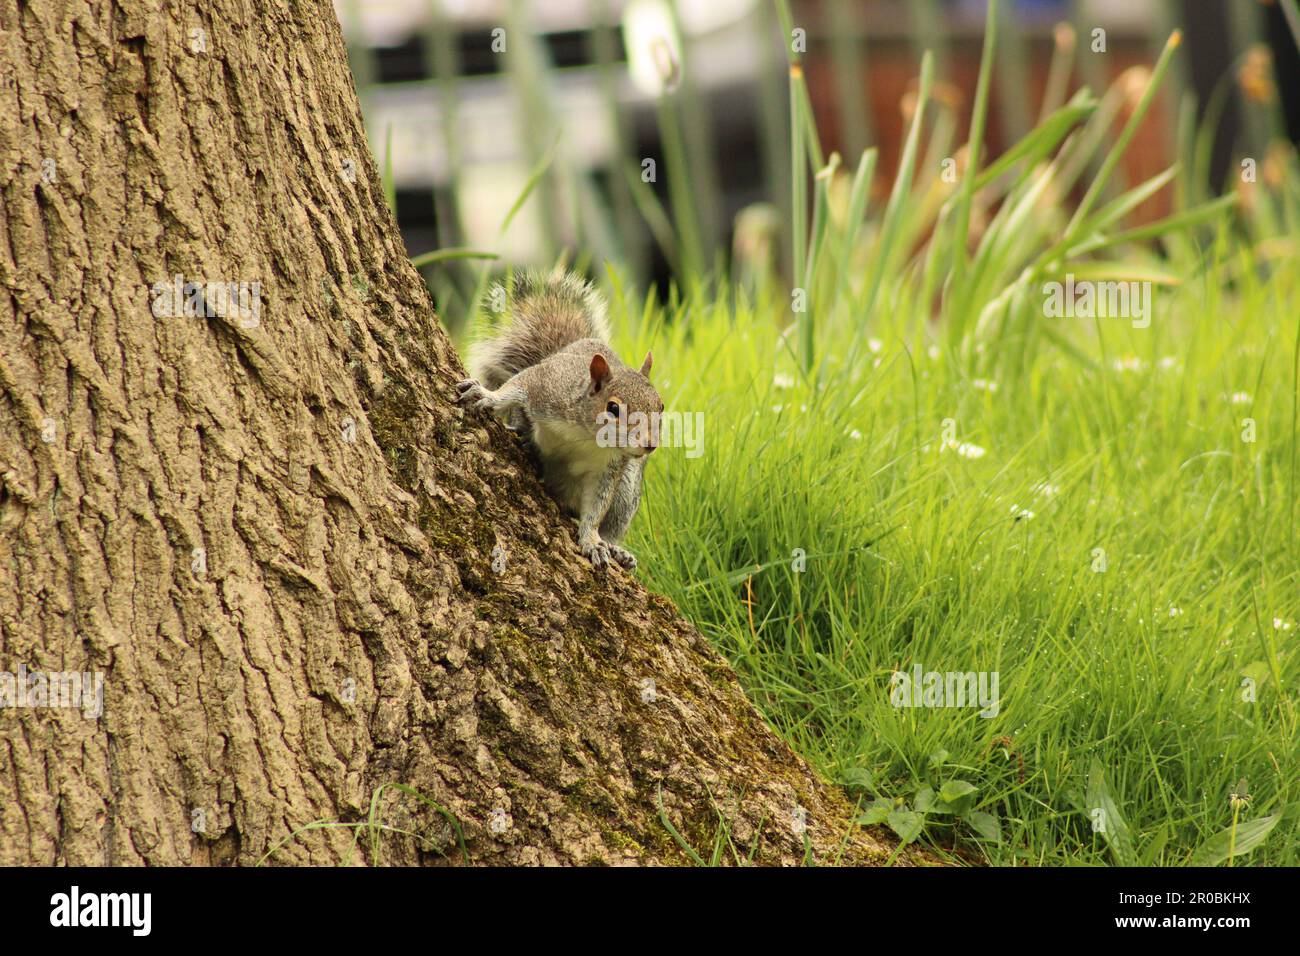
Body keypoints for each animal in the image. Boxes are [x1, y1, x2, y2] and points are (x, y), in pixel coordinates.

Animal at [455, 271, 662, 570]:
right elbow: (516, 386)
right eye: (613, 408)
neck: (587, 435)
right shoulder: (546, 386)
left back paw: (617, 550)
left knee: (611, 521)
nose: (650, 445)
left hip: (626, 489)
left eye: (661, 406)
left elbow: (596, 509)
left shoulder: (609, 468)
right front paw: (488, 396)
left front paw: (592, 541)